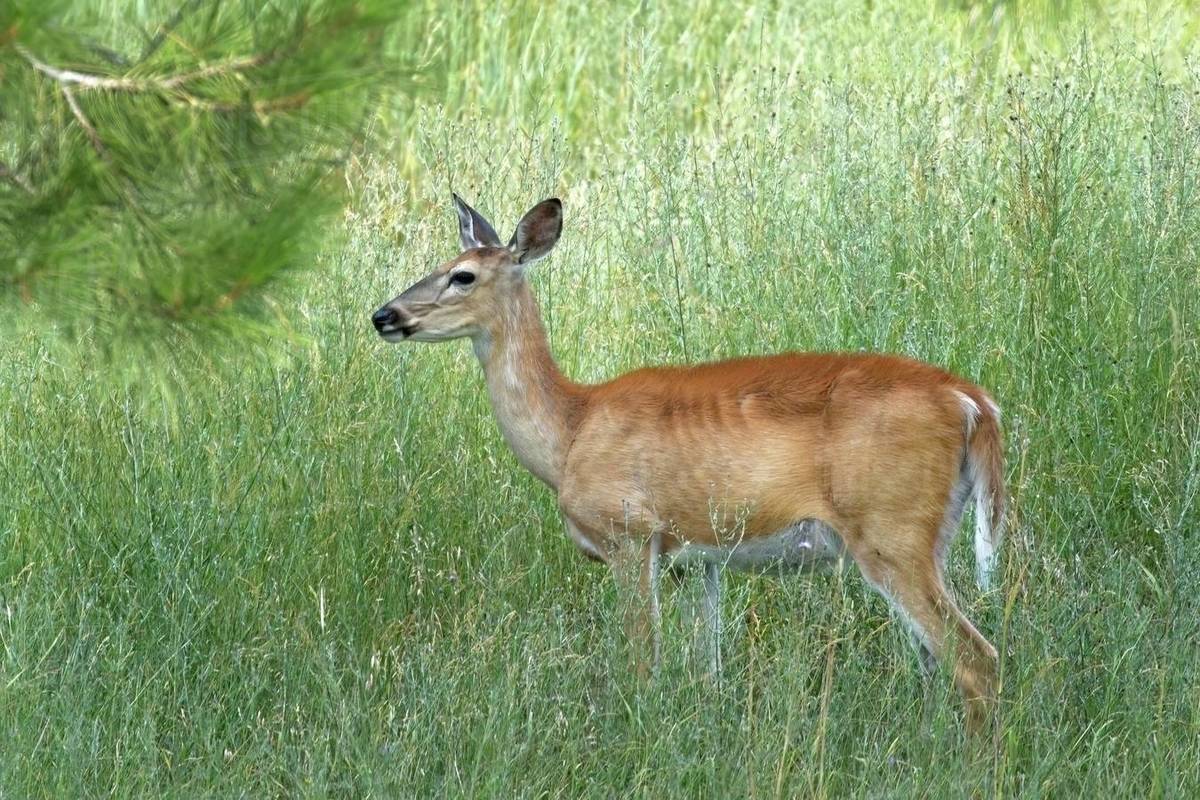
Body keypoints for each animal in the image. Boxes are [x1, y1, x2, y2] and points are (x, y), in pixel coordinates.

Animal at [371, 194, 1007, 732]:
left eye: (462, 275)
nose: (384, 315)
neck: (571, 431)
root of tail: (972, 401)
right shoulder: (699, 559)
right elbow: (709, 669)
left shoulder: (629, 532)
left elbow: (642, 664)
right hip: (929, 534)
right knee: (937, 660)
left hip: (889, 529)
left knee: (976, 659)